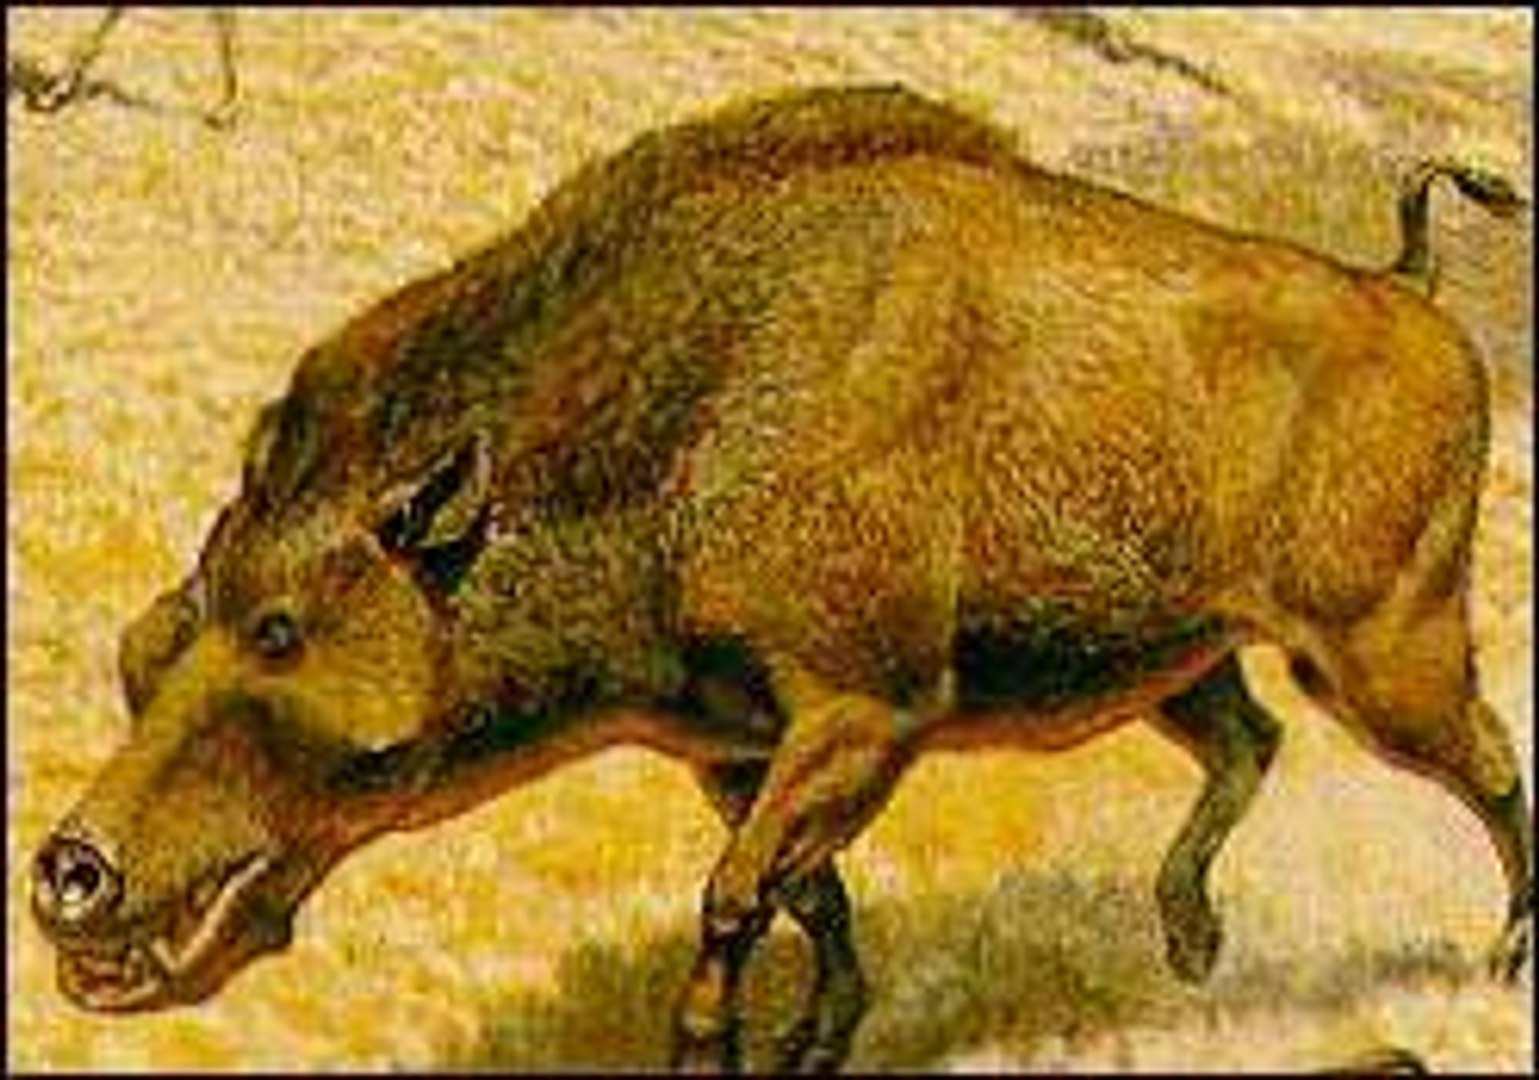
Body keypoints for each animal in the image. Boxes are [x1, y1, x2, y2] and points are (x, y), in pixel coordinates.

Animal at [31, 84, 1531, 1073]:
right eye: (149, 645)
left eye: (281, 632)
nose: (71, 874)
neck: (687, 417)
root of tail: (1405, 291)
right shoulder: (735, 747)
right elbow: (798, 893)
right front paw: (820, 1038)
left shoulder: (865, 718)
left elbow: (736, 898)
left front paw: (716, 1051)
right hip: (1178, 661)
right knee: (1248, 741)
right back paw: (1189, 943)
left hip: (1378, 651)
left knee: (1486, 761)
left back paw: (1503, 956)